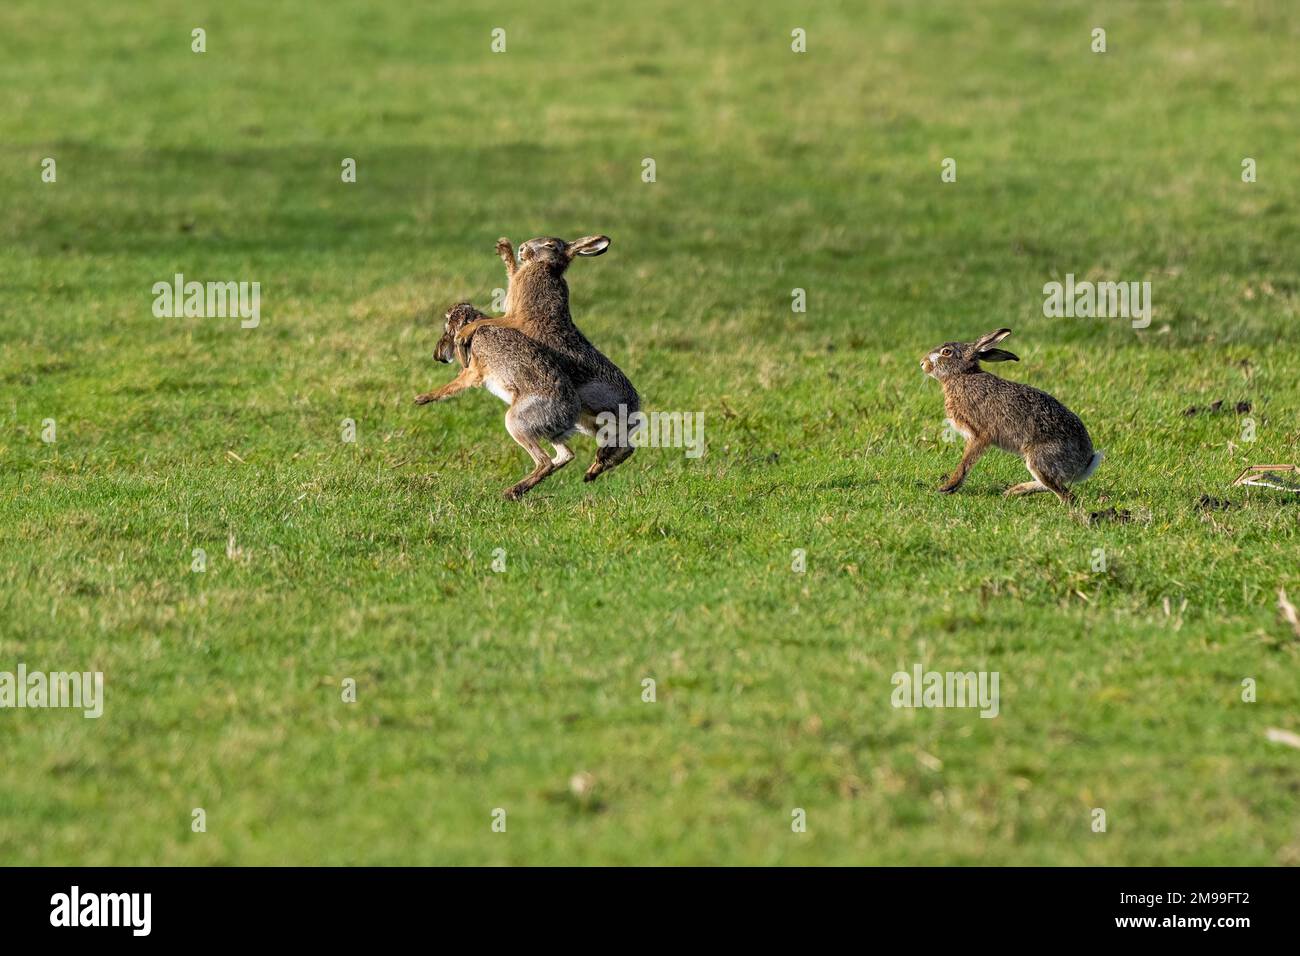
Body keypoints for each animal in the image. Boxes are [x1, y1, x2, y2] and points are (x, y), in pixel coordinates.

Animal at [416, 302, 581, 500]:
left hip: (516, 421)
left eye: (447, 329)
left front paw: (422, 398)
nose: (436, 354)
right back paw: (516, 490)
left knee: (545, 462)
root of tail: (571, 414)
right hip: (546, 431)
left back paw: (509, 493)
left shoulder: (472, 371)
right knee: (565, 455)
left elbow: (452, 386)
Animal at [453, 236, 641, 482]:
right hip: (585, 420)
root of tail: (635, 407)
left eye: (551, 245)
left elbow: (489, 321)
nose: (522, 248)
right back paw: (593, 470)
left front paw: (462, 335)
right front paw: (505, 249)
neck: (546, 267)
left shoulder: (514, 317)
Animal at [920, 328, 1103, 503]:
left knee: (1065, 495)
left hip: (1039, 459)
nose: (922, 363)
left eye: (946, 352)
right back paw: (1013, 491)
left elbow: (966, 462)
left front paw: (947, 487)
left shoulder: (979, 434)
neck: (961, 376)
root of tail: (1084, 464)